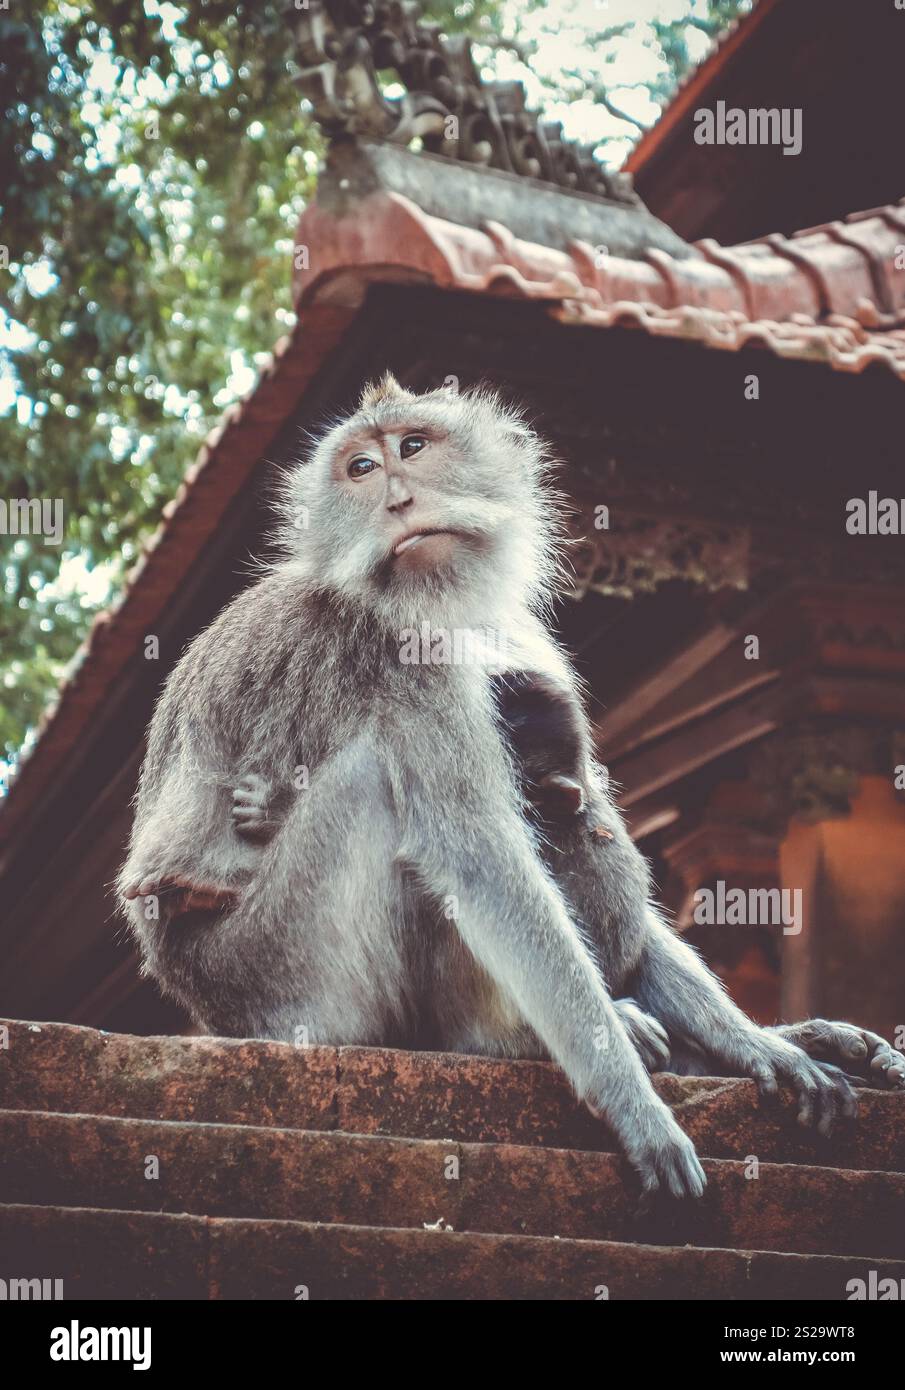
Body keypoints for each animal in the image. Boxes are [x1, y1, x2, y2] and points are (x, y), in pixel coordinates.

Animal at [119, 374, 905, 1201]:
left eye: (412, 447)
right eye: (360, 469)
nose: (396, 497)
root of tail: (201, 1003)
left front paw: (757, 1043)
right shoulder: (405, 659)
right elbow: (482, 863)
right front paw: (634, 1105)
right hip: (280, 977)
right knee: (384, 793)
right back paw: (501, 1040)